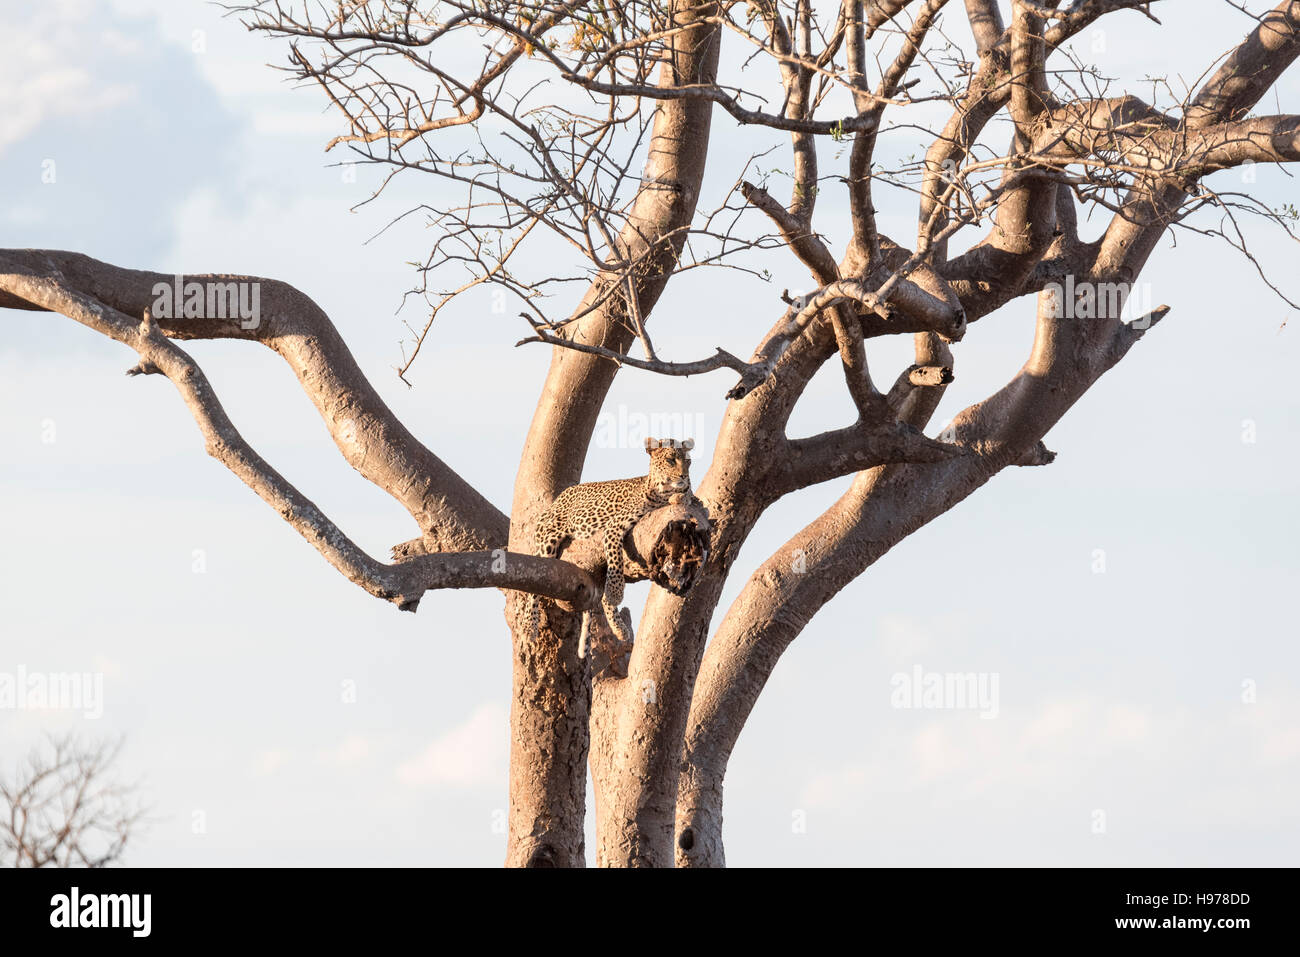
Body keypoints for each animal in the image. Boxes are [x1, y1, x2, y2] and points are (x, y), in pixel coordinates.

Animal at [526, 437, 695, 657]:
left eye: (688, 462)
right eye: (671, 460)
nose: (684, 476)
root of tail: (558, 499)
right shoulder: (614, 527)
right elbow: (615, 564)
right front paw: (616, 593)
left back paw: (620, 629)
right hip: (547, 539)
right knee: (534, 586)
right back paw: (530, 626)